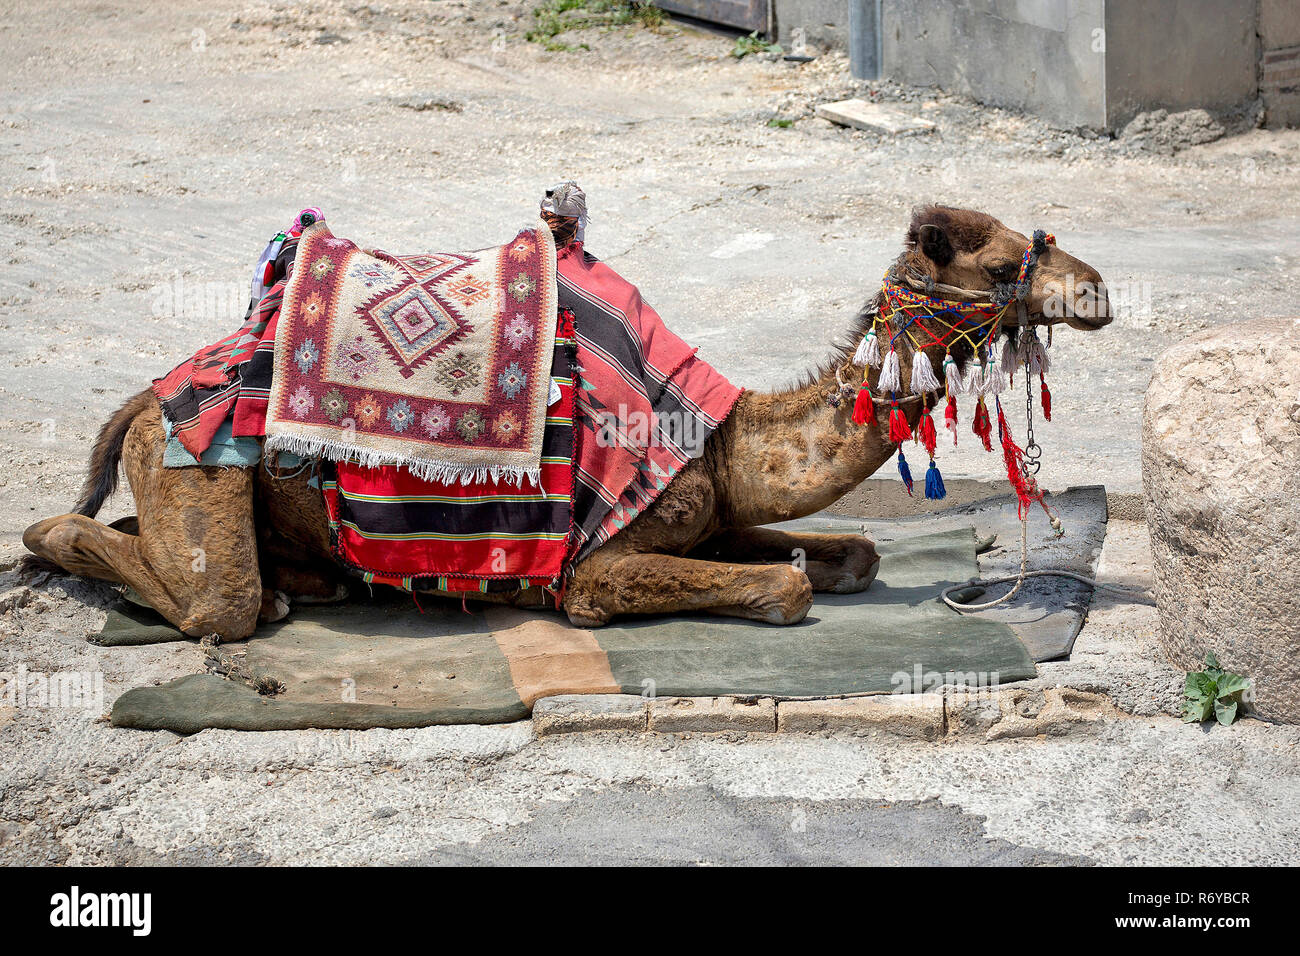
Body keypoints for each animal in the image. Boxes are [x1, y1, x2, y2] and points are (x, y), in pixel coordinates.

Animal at [22, 205, 1111, 638]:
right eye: (1000, 261)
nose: (1096, 289)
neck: (720, 434)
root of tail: (146, 395)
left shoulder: (706, 513)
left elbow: (850, 555)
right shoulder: (594, 565)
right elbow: (783, 585)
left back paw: (315, 581)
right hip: (195, 462)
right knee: (211, 598)